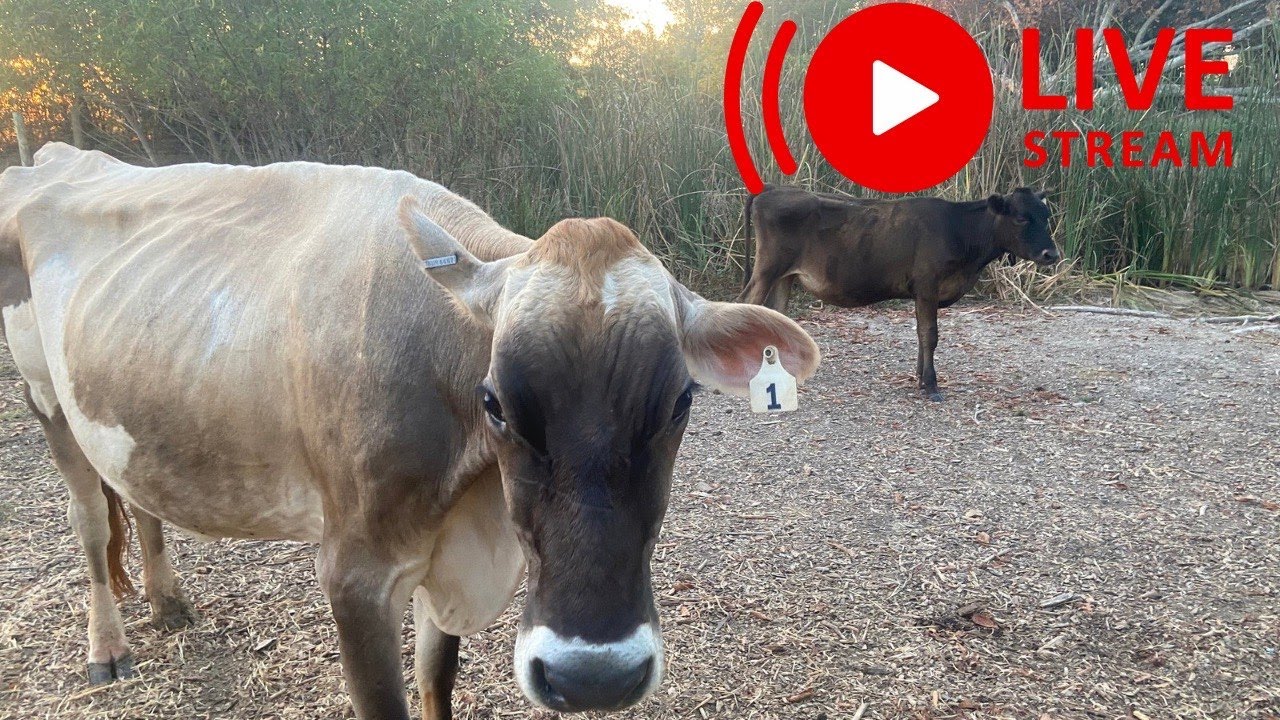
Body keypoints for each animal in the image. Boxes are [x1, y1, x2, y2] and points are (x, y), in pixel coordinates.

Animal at [0, 144, 820, 720]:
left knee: (134, 493)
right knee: (85, 516)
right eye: (494, 403)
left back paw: (167, 601)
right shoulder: (354, 573)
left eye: (681, 400)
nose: (593, 677)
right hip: (44, 395)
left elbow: (436, 681)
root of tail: (56, 158)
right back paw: (107, 644)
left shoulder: (441, 560)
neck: (476, 507)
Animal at [738, 184, 1057, 401]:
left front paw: (920, 378)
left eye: (1046, 216)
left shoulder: (921, 292)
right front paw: (931, 385)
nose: (1051, 253)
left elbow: (920, 334)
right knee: (747, 304)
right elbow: (930, 334)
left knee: (775, 313)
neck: (959, 230)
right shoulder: (928, 286)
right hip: (767, 269)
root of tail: (773, 188)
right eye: (1021, 218)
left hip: (784, 276)